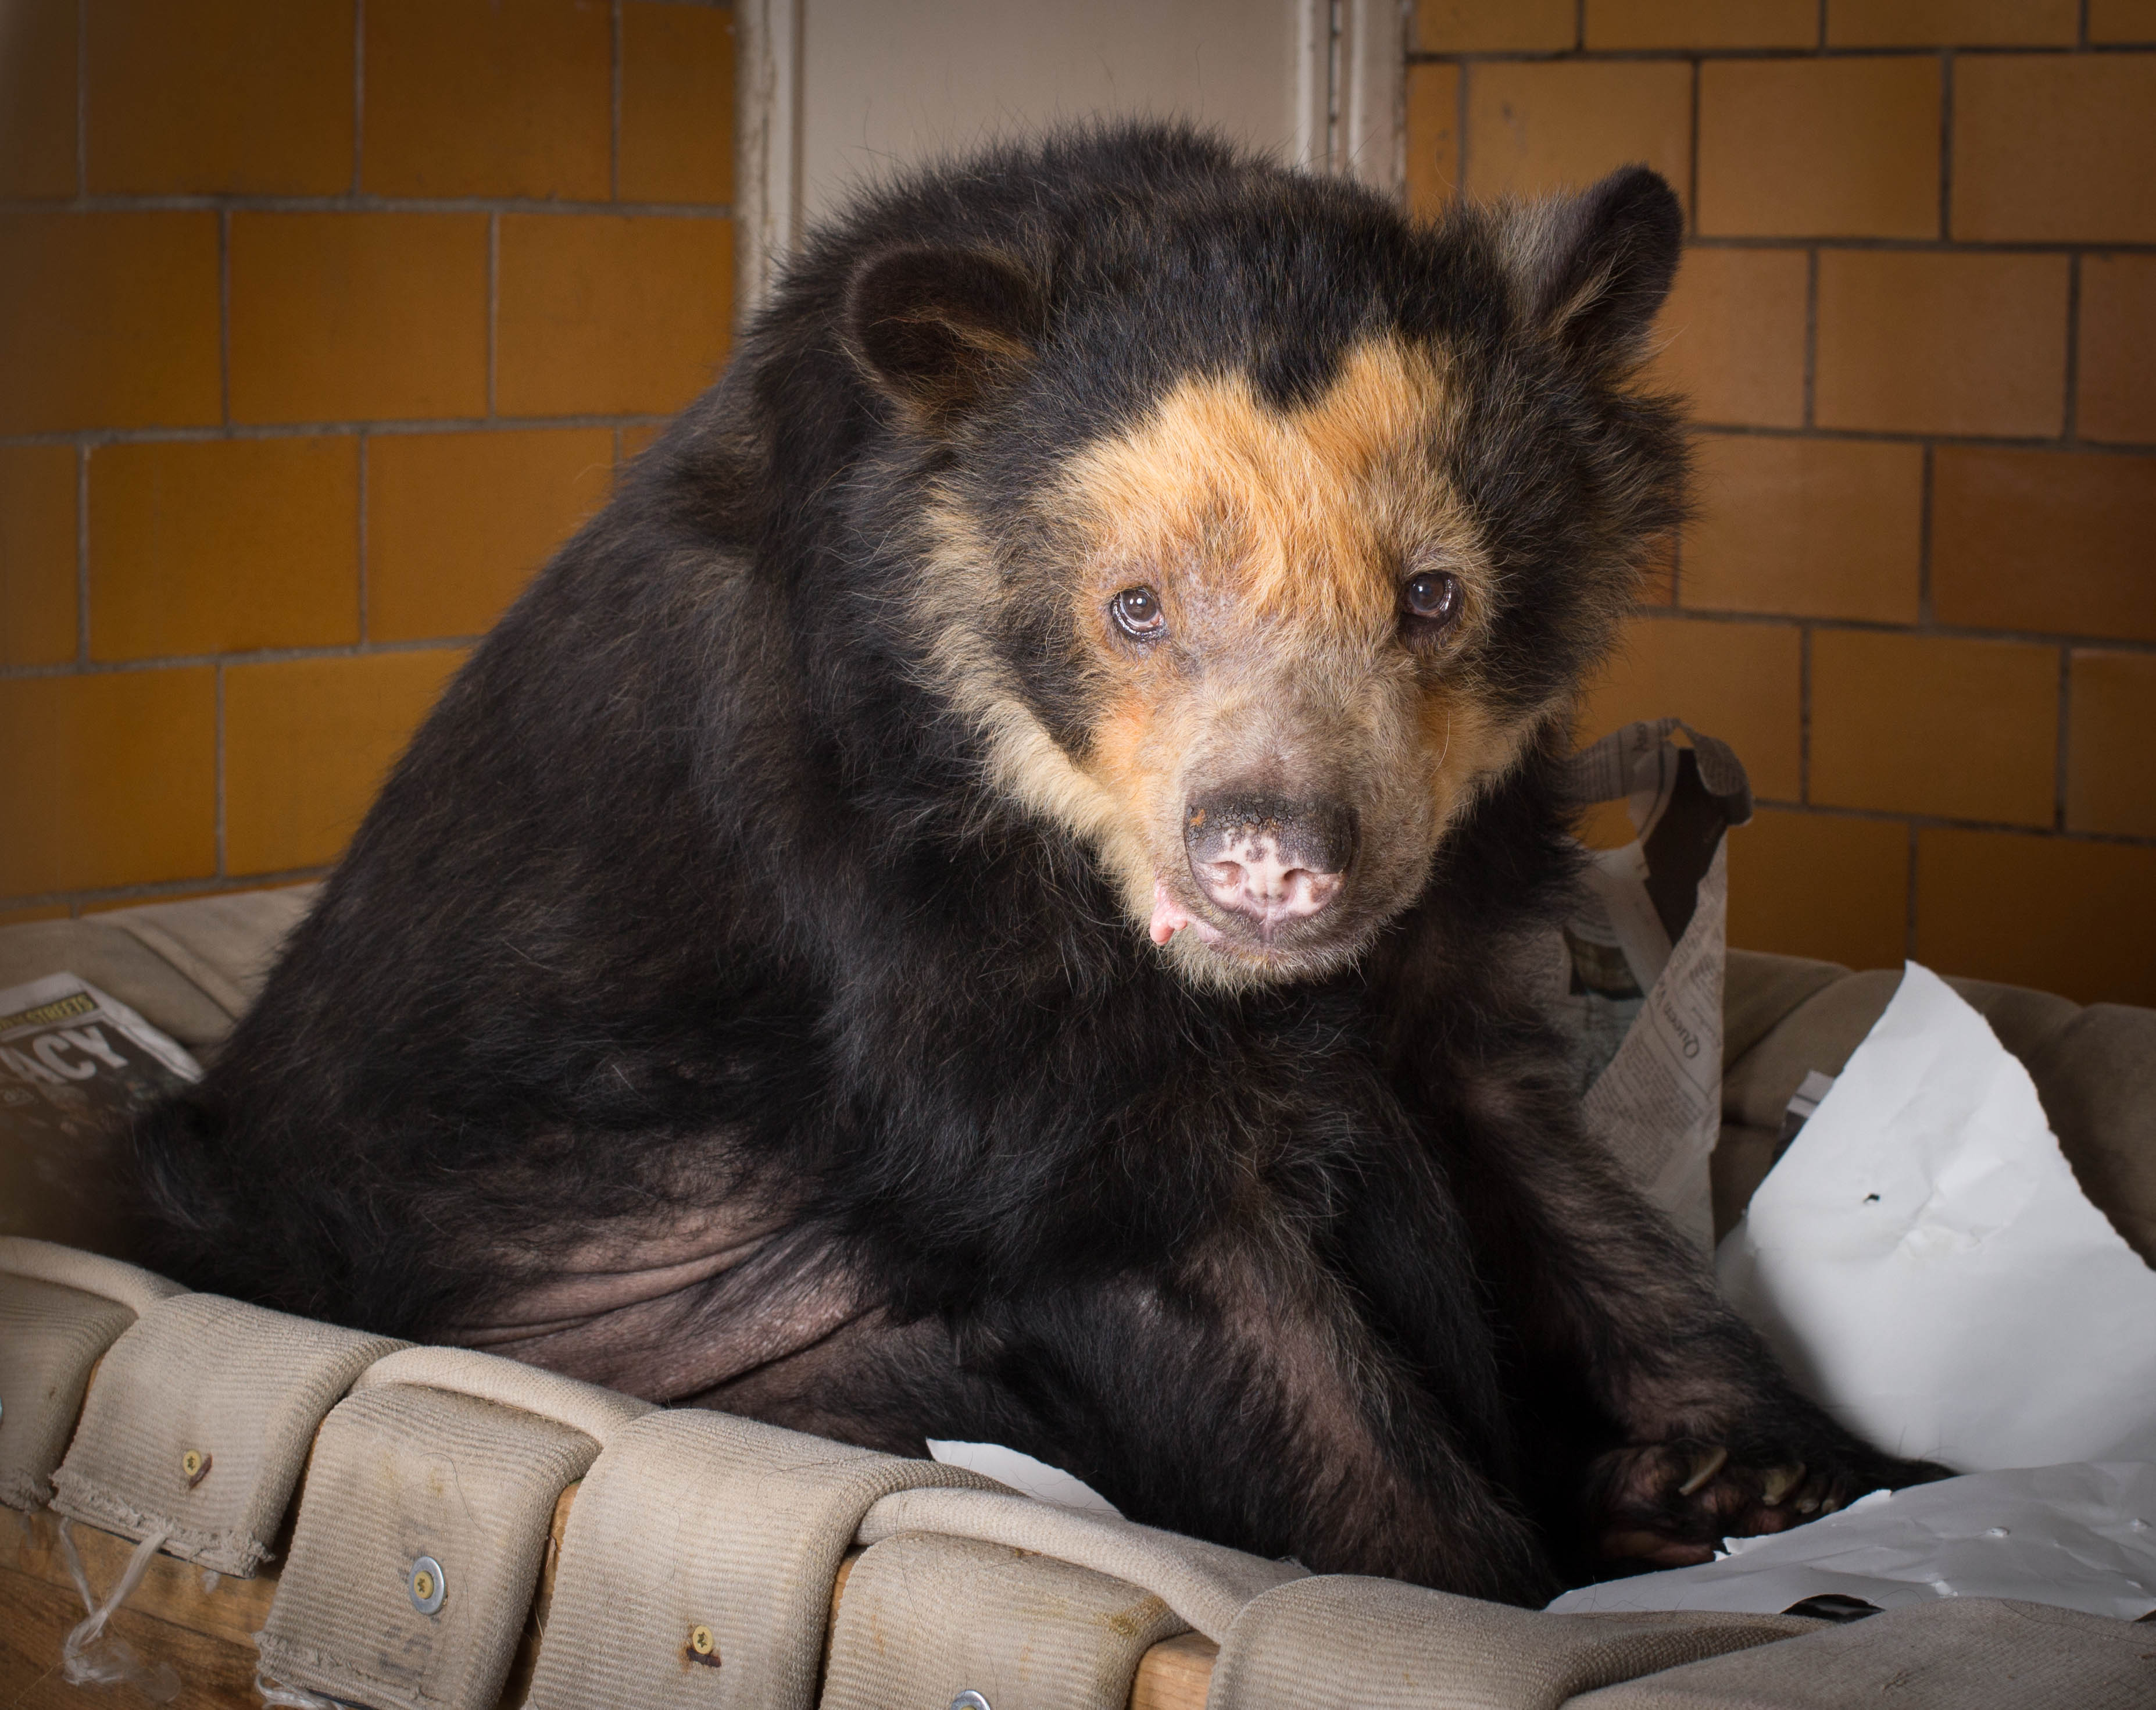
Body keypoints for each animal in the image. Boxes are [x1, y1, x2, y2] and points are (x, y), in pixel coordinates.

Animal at [131, 125, 1943, 1603]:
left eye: (1431, 595)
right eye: (1129, 609)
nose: (1273, 857)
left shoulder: (1459, 865)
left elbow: (1516, 1135)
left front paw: (1772, 1469)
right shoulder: (878, 856)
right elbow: (1135, 1223)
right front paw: (1486, 1589)